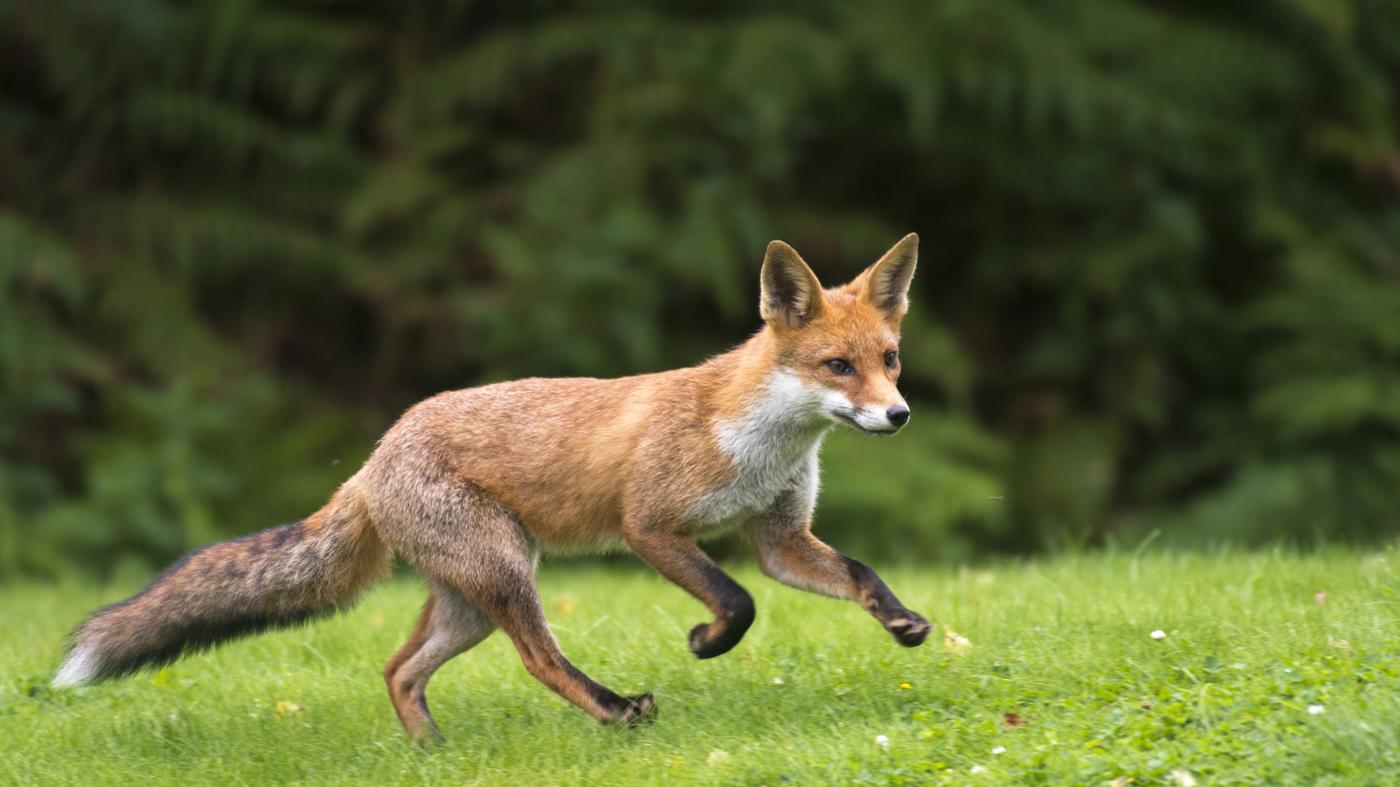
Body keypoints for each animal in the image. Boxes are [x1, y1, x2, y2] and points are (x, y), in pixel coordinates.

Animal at [54, 234, 932, 741]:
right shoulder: (649, 525)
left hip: (470, 600)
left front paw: (901, 619)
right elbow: (738, 600)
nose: (898, 415)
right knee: (539, 660)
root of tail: (375, 456)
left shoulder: (781, 537)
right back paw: (614, 710)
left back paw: (432, 753)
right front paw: (706, 641)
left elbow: (857, 573)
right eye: (836, 366)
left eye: (889, 358)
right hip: (508, 575)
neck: (759, 440)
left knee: (398, 669)